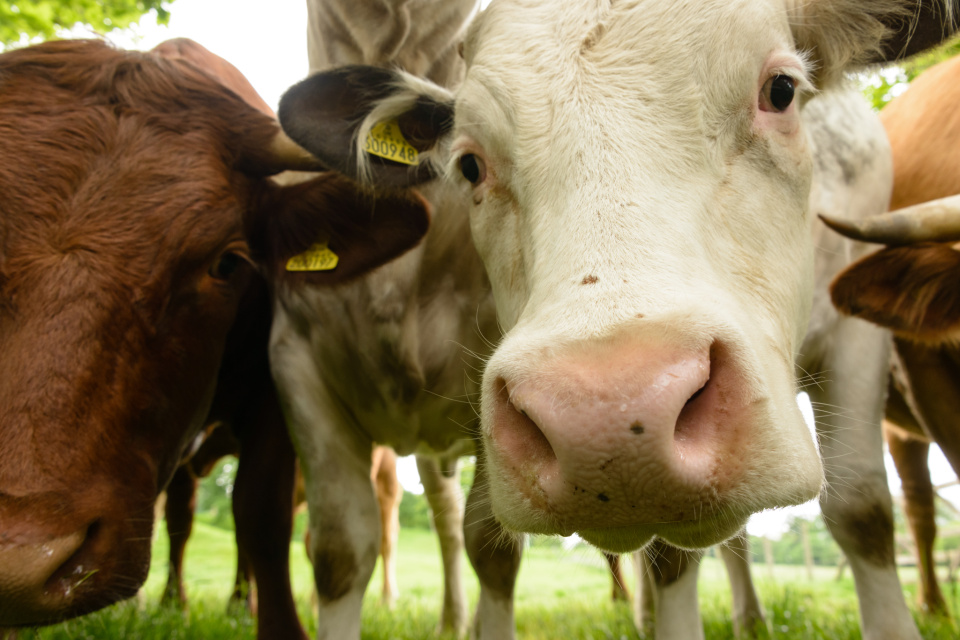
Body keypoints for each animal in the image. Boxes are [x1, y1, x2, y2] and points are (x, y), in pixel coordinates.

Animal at [273, 1, 959, 639]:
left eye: (781, 90)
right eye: (468, 164)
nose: (605, 413)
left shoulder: (858, 336)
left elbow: (862, 510)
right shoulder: (296, 368)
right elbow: (341, 551)